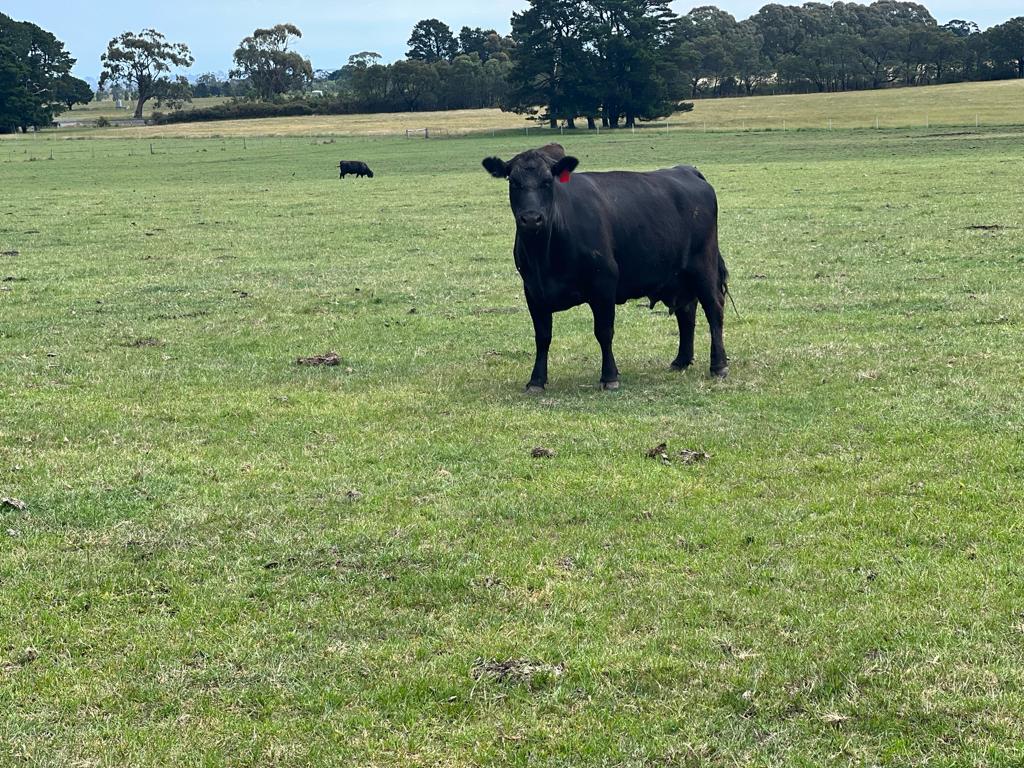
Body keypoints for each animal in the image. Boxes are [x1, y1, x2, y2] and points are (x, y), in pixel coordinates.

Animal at [482, 143, 729, 391]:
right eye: (513, 182)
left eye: (547, 182)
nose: (532, 218)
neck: (545, 255)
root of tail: (686, 170)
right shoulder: (532, 290)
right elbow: (542, 336)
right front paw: (536, 380)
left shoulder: (604, 283)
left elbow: (604, 331)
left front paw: (609, 376)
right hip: (680, 276)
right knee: (686, 311)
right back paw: (681, 360)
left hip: (703, 266)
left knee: (713, 308)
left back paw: (719, 365)